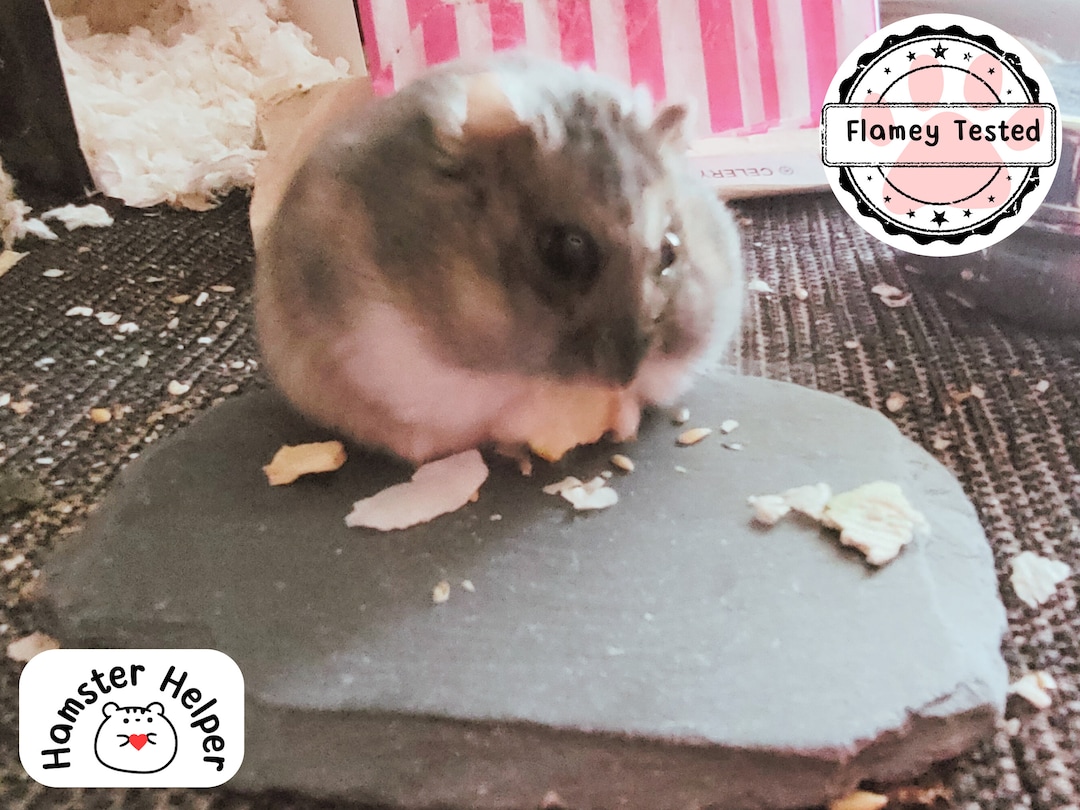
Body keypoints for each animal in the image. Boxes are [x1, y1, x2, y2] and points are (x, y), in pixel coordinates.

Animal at [254, 53, 743, 465]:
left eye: (671, 250)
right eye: (564, 249)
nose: (624, 376)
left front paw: (623, 416)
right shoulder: (402, 365)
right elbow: (506, 409)